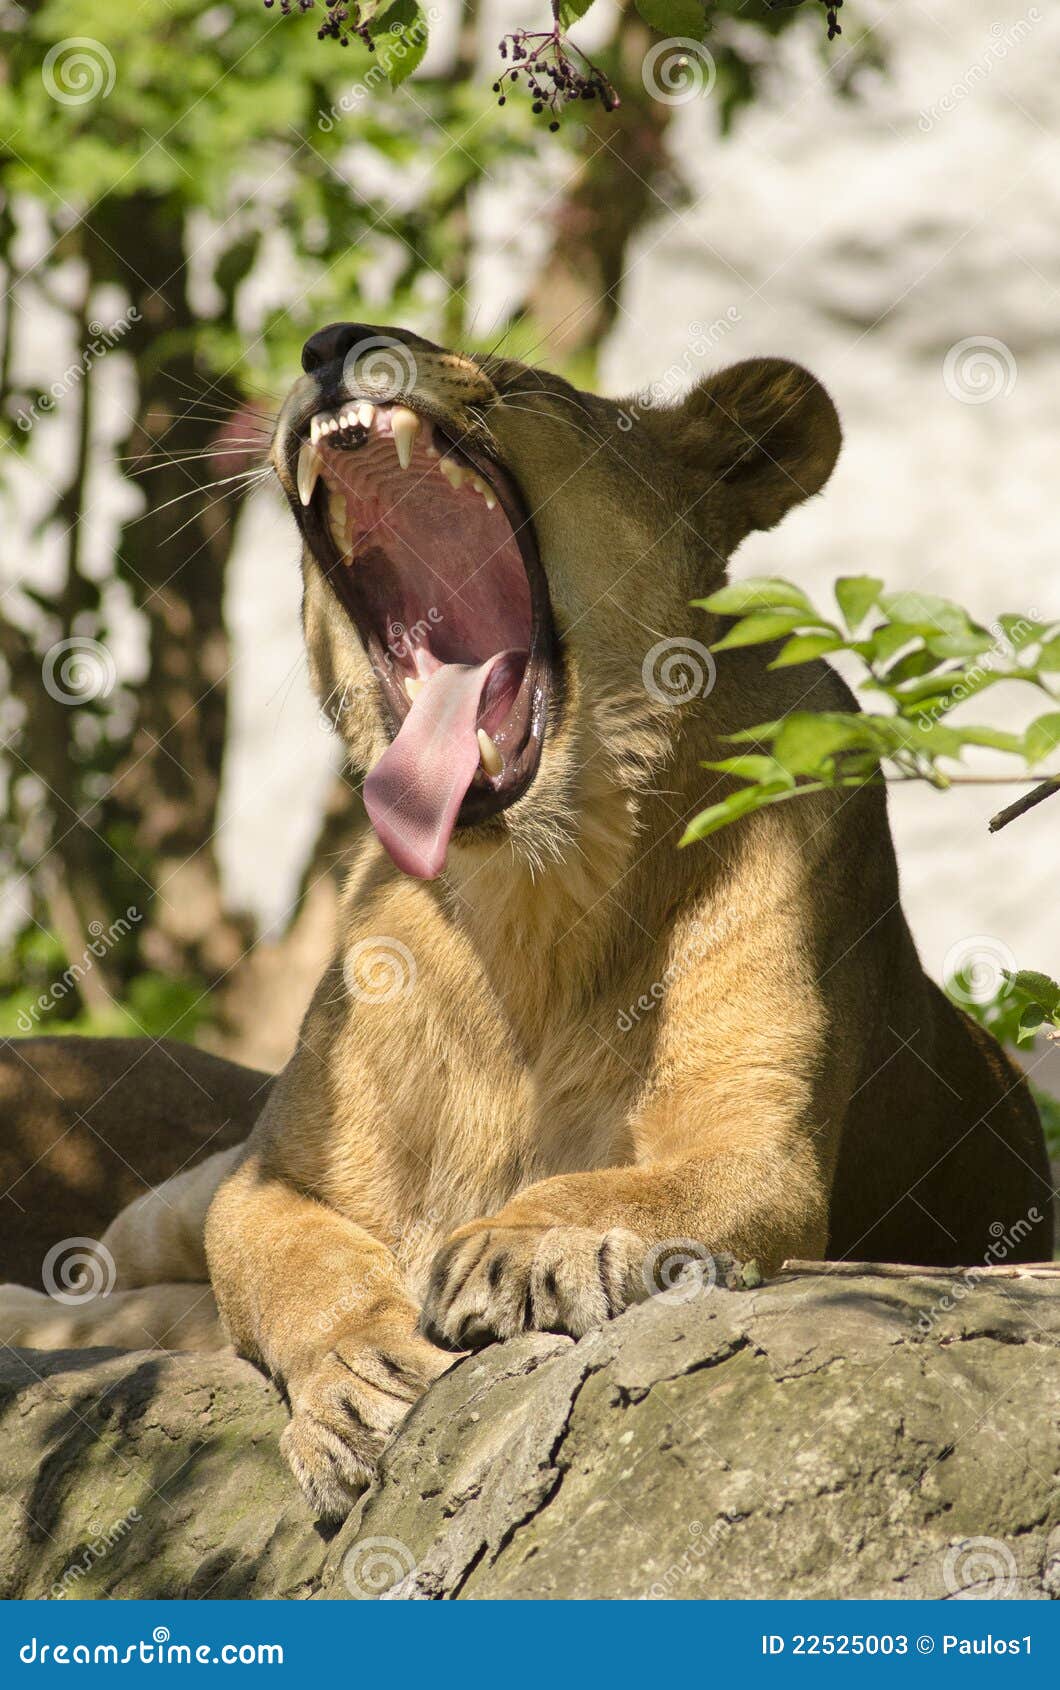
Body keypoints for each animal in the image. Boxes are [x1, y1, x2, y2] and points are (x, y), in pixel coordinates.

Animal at [2, 324, 1051, 1519]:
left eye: (519, 383)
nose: (330, 343)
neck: (530, 903)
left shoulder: (755, 1146)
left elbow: (638, 1181)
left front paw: (516, 1241)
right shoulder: (272, 1178)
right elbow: (291, 1262)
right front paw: (359, 1372)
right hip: (166, 1208)